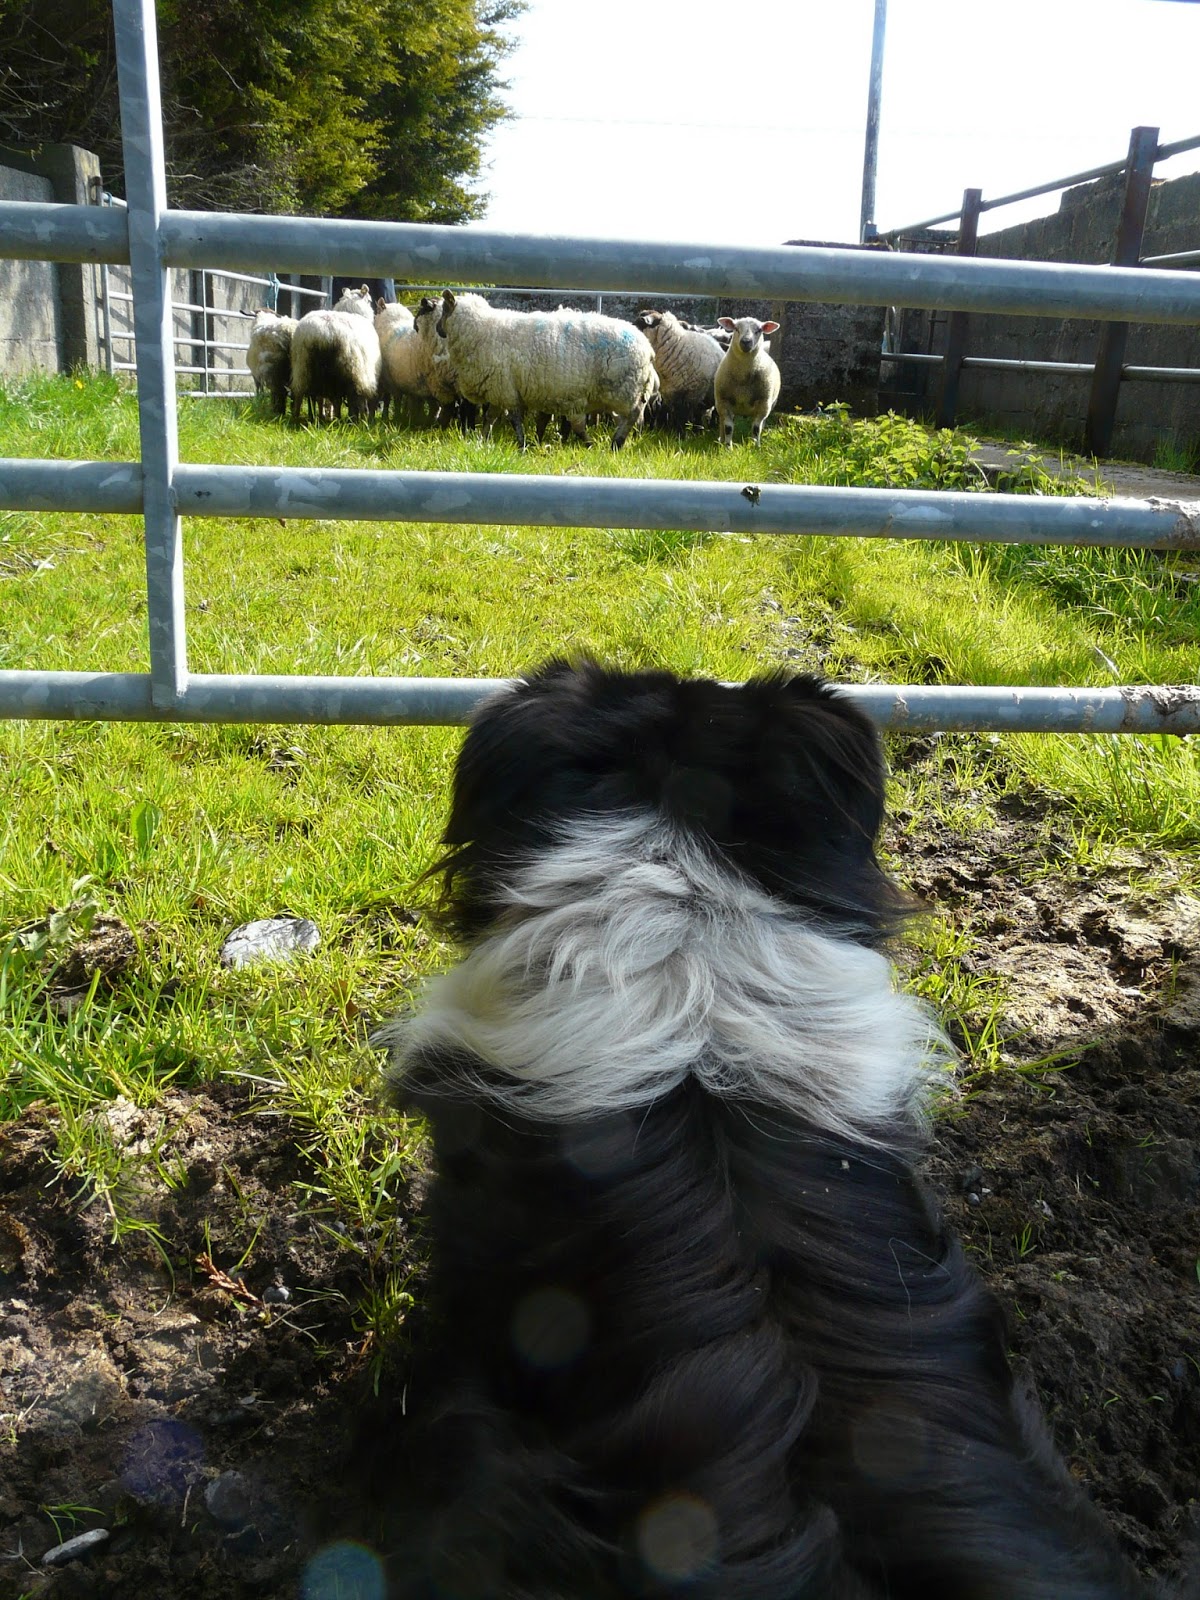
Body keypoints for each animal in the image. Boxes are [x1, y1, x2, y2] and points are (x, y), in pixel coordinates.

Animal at [436, 291, 658, 450]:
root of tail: (647, 348)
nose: (438, 329)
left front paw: (521, 445)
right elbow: (491, 418)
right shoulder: (502, 391)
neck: (480, 329)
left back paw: (613, 443)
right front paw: (483, 440)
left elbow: (513, 420)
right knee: (626, 418)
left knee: (632, 416)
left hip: (624, 390)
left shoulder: (505, 390)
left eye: (445, 310)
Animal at [714, 315, 781, 446]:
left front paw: (755, 446)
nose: (745, 342)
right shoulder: (724, 402)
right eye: (736, 328)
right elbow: (728, 427)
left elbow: (756, 428)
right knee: (722, 422)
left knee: (761, 424)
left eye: (759, 330)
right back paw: (721, 440)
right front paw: (728, 447)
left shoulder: (763, 405)